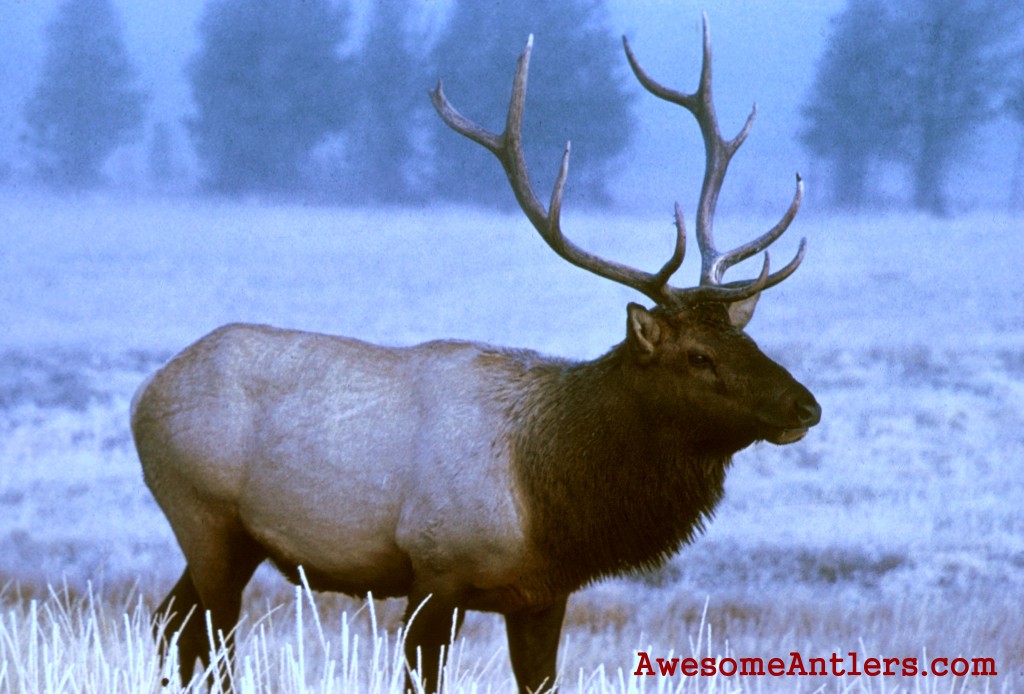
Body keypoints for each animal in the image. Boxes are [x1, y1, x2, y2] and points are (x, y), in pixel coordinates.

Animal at [132, 17, 820, 694]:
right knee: (212, 637)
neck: (551, 500)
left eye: (748, 340)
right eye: (699, 357)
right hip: (203, 515)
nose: (806, 406)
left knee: (170, 622)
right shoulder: (436, 570)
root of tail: (144, 393)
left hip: (235, 539)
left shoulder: (543, 594)